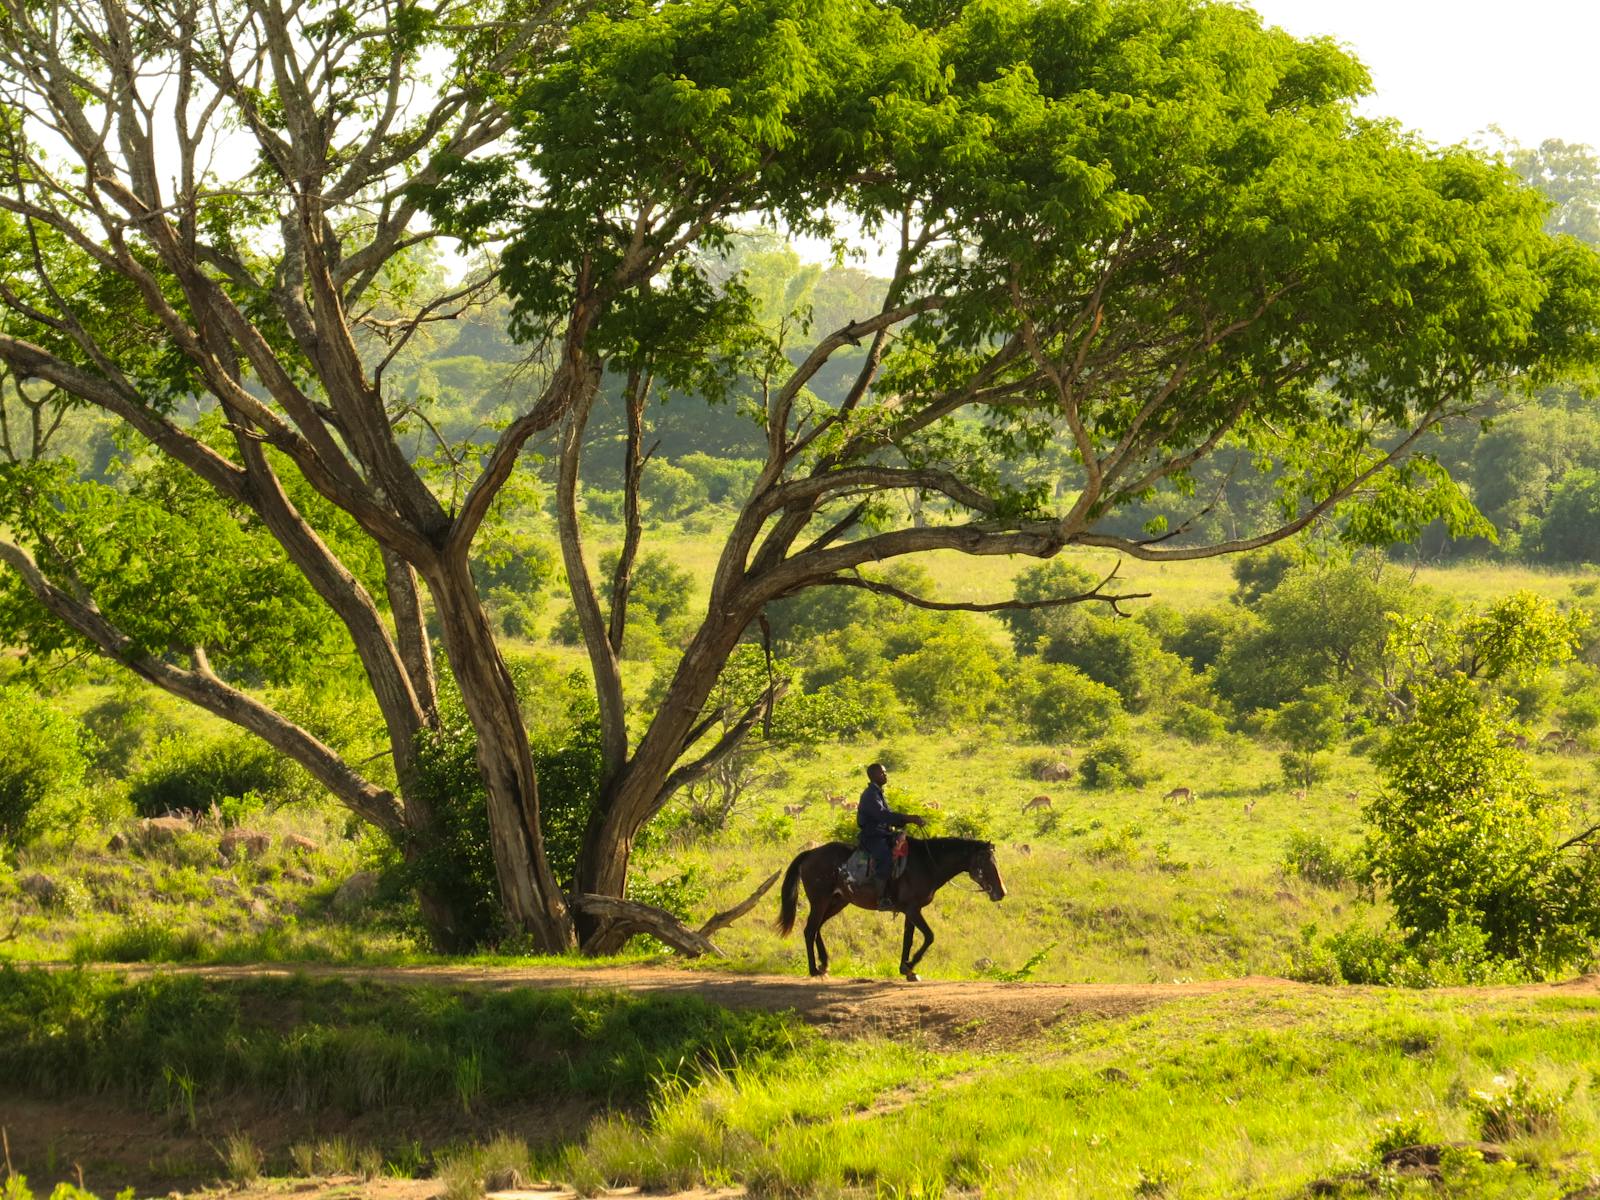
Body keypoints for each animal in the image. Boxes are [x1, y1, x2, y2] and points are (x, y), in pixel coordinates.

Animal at [776, 836, 1006, 980]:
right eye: (986, 864)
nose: (1001, 892)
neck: (927, 863)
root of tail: (809, 854)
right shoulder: (913, 910)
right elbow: (929, 936)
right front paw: (910, 966)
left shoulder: (911, 912)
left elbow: (909, 939)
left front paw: (907, 969)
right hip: (820, 901)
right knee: (809, 930)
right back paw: (814, 969)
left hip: (837, 902)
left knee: (817, 929)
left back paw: (824, 964)